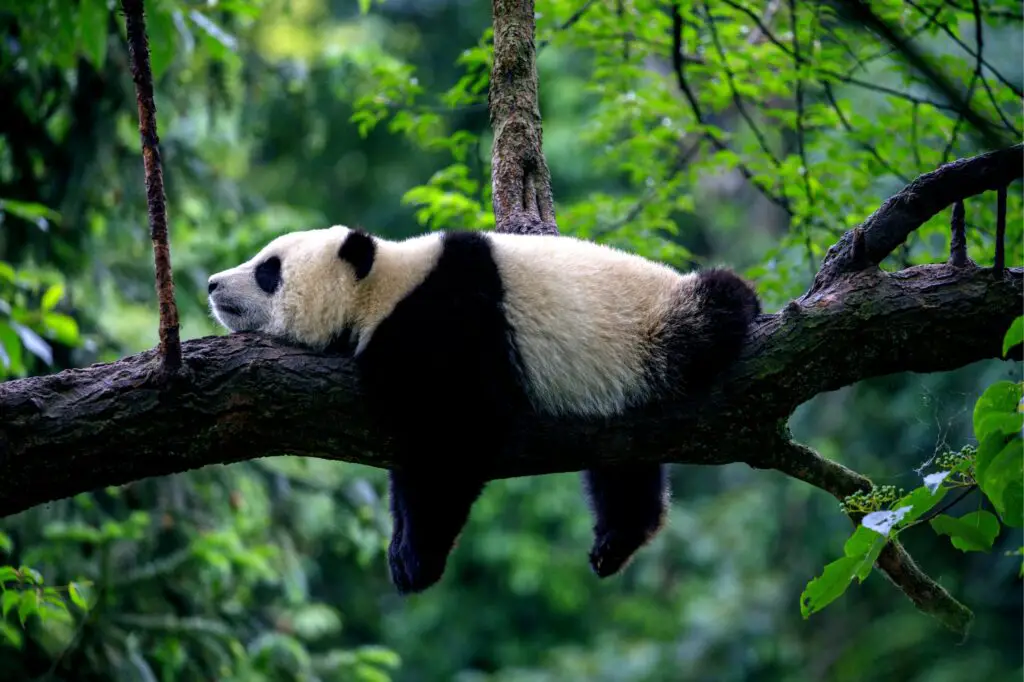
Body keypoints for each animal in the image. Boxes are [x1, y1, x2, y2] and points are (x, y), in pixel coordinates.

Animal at [207, 225, 760, 594]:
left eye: (268, 270)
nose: (212, 283)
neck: (384, 285)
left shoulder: (451, 321)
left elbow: (455, 438)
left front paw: (417, 559)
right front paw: (401, 547)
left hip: (654, 326)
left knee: (716, 306)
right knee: (623, 469)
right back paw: (617, 541)